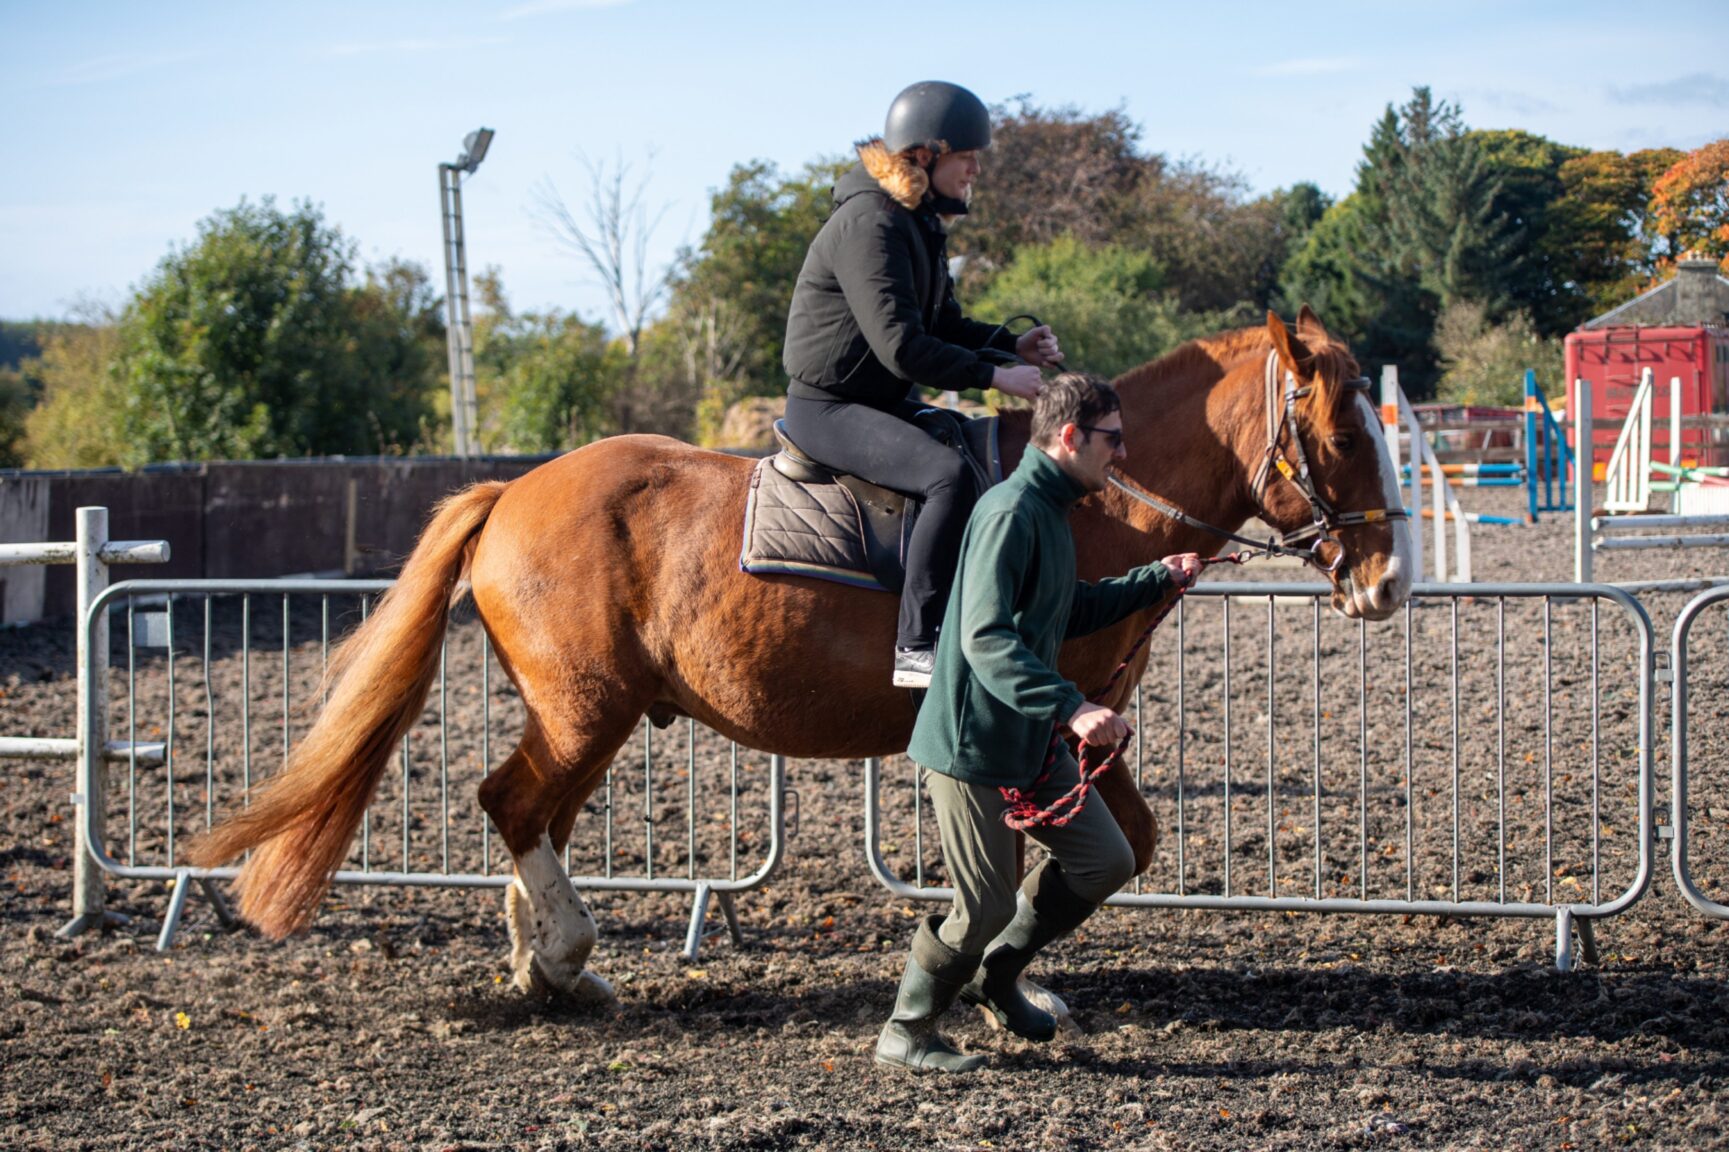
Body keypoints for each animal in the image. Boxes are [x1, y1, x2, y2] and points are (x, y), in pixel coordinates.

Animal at [189, 307, 1414, 1001]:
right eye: (1339, 433)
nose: (1389, 584)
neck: (1087, 500)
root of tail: (513, 491)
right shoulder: (1043, 724)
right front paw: (991, 976)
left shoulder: (1082, 730)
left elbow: (1116, 853)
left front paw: (1008, 976)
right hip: (587, 708)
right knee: (514, 805)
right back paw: (567, 955)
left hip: (588, 714)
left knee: (534, 812)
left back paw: (540, 963)